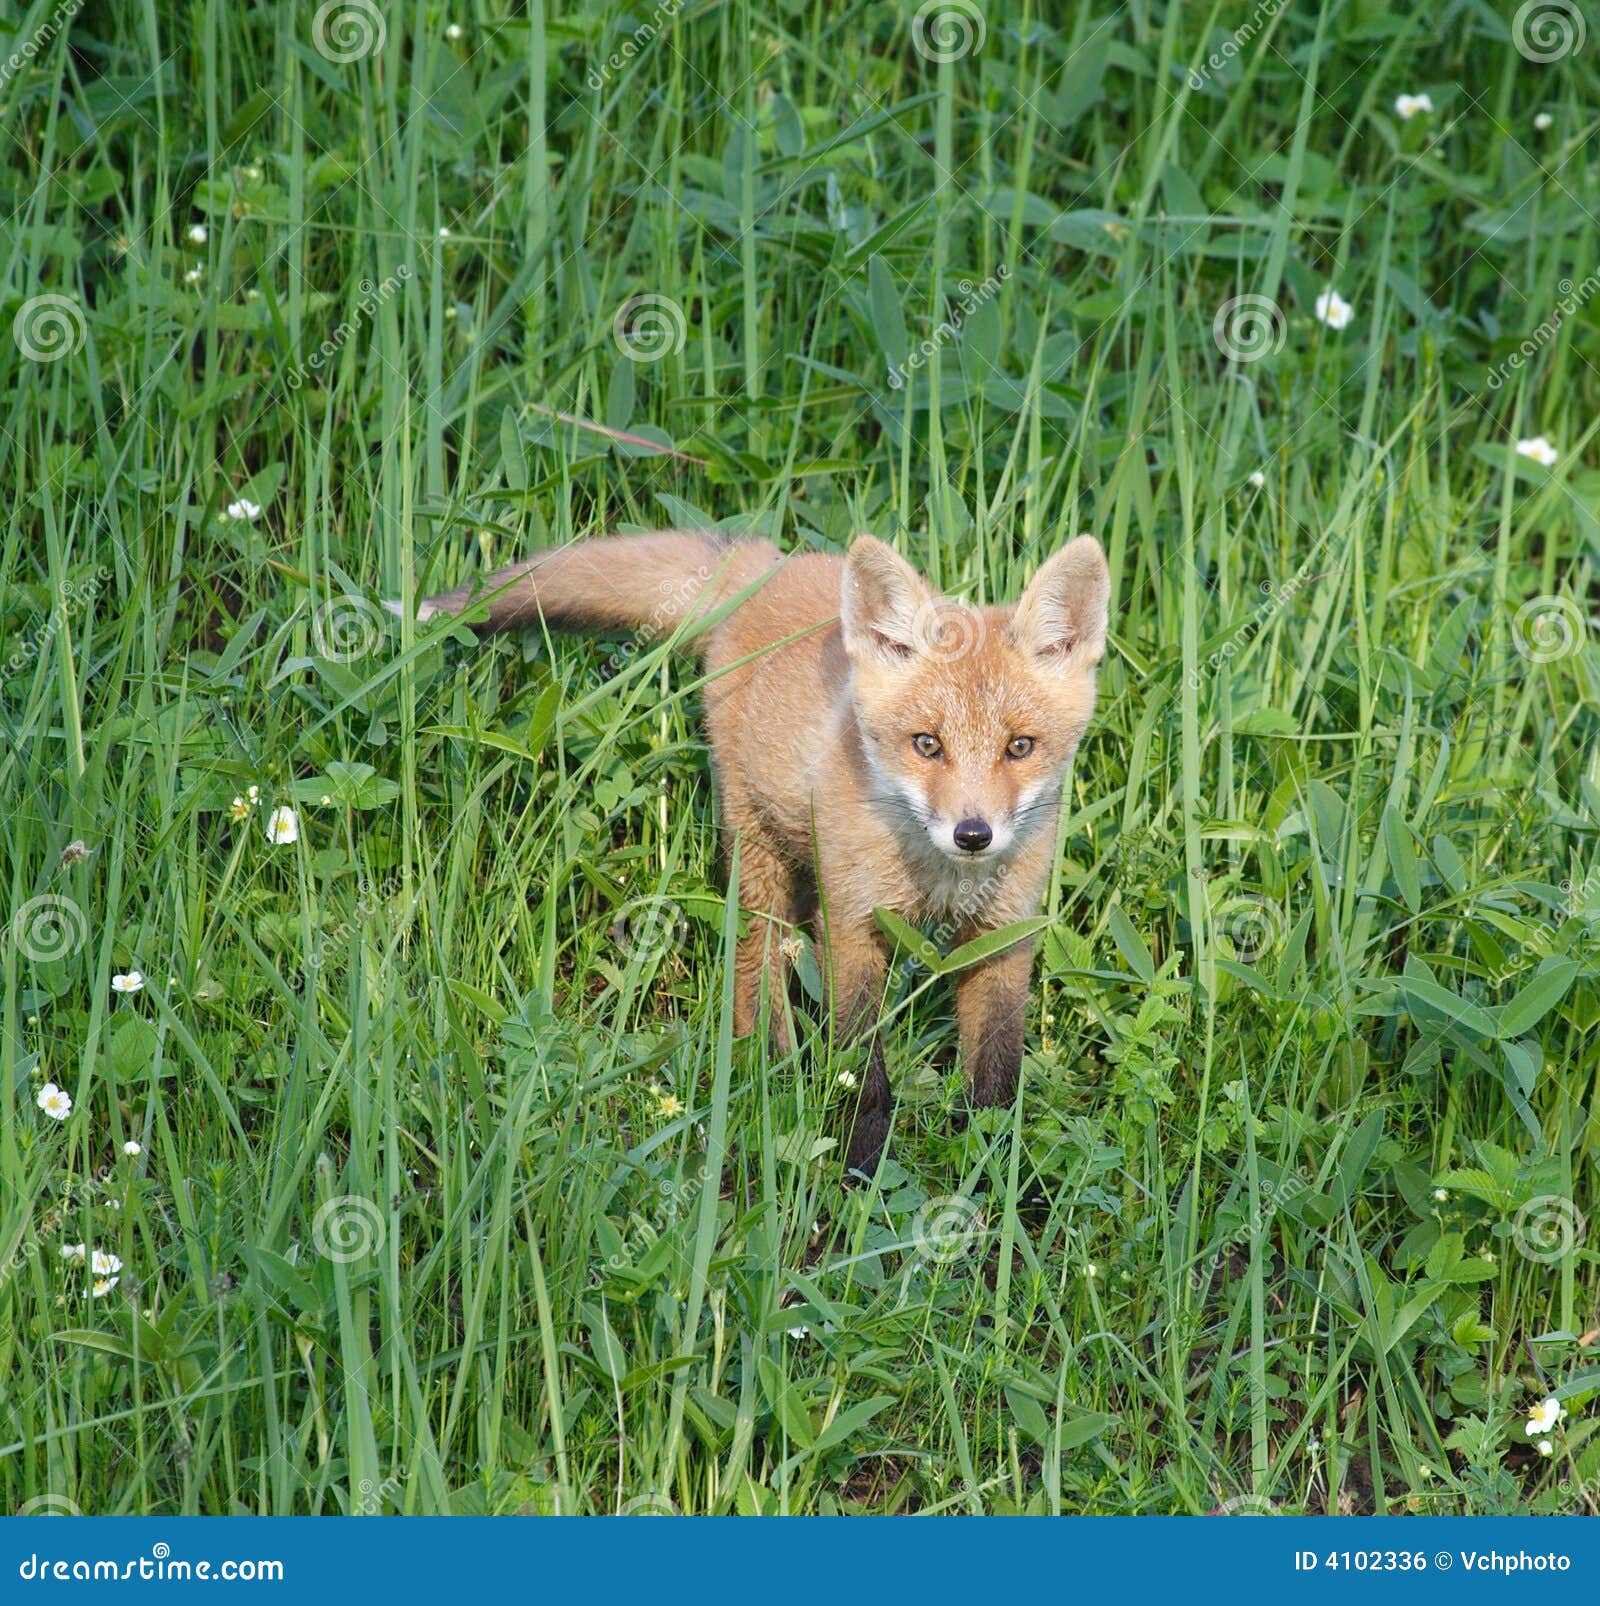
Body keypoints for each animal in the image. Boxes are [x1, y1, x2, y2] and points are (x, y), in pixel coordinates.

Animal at [398, 528, 1111, 1171]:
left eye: (1019, 747)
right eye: (927, 744)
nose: (973, 834)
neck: (939, 881)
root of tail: (771, 561)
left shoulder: (1003, 937)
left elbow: (996, 1082)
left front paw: (1001, 1190)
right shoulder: (853, 926)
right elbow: (863, 1072)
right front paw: (861, 1173)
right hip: (756, 854)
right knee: (755, 973)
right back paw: (769, 1073)